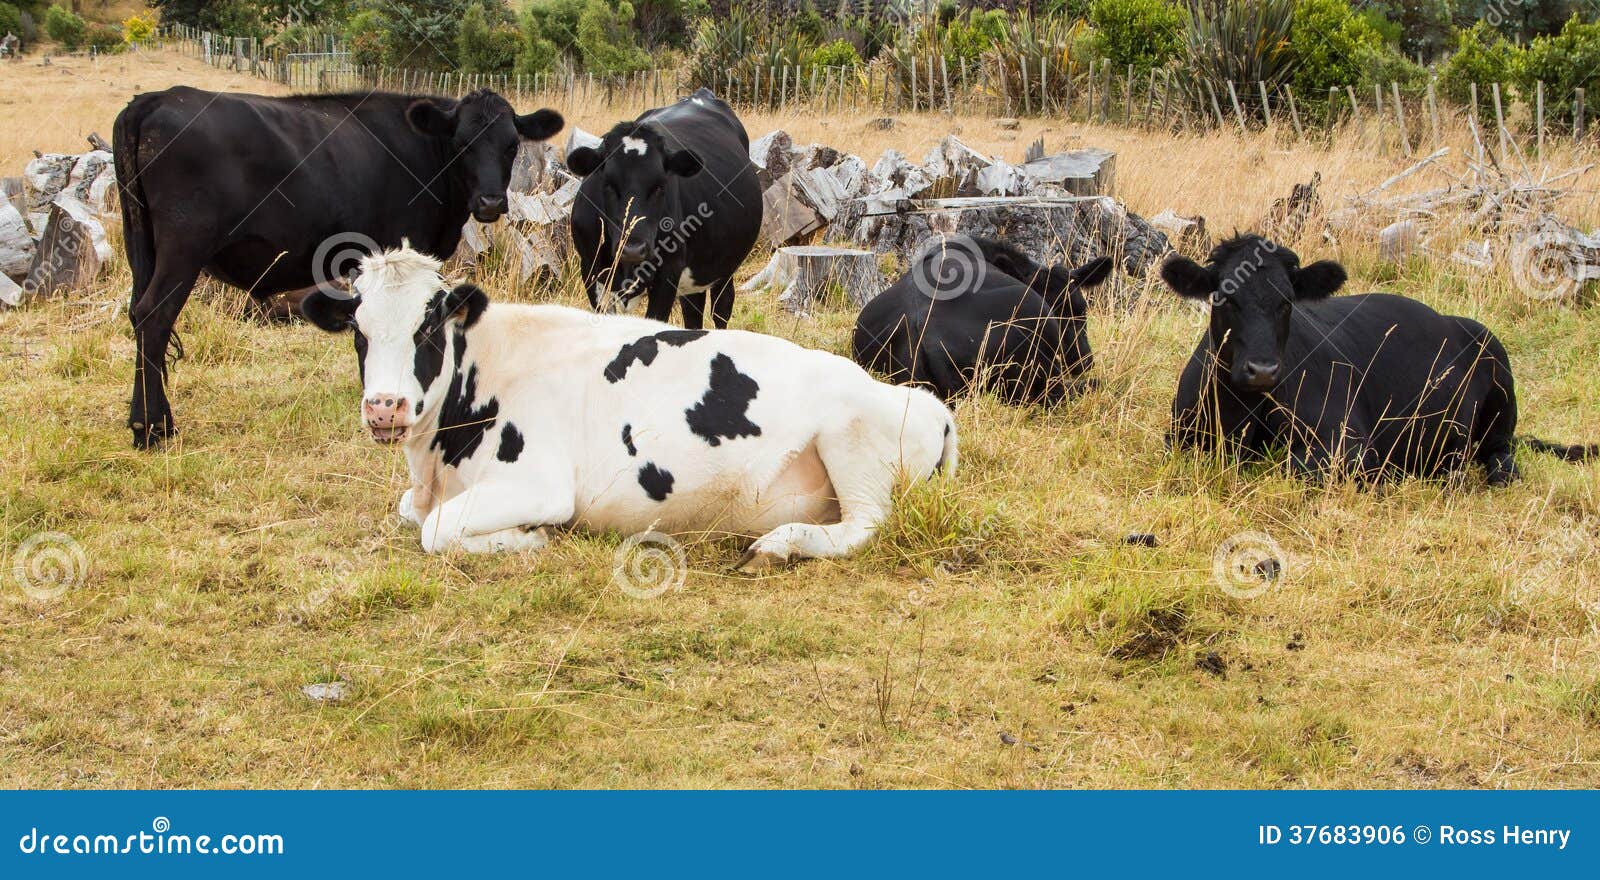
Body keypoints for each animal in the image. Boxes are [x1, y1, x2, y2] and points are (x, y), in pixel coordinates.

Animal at [112, 86, 563, 448]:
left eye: (511, 146)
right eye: (462, 143)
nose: (490, 201)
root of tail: (155, 99)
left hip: (143, 247)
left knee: (138, 315)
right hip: (184, 245)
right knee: (154, 316)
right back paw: (152, 428)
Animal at [298, 246, 958, 569]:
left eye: (429, 327)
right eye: (357, 329)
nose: (384, 407)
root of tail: (921, 399)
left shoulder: (538, 483)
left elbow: (433, 530)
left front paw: (528, 541)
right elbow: (411, 514)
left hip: (852, 440)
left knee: (866, 526)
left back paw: (780, 545)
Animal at [567, 88, 761, 330]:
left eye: (660, 185)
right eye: (608, 184)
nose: (632, 249)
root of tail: (701, 95)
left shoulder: (668, 273)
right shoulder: (591, 270)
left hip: (724, 266)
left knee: (721, 308)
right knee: (693, 311)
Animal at [1159, 233, 1596, 483]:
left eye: (1287, 301)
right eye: (1225, 296)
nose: (1262, 370)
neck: (1245, 409)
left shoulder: (1348, 442)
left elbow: (1292, 467)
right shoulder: (1179, 437)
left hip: (1500, 388)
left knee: (1500, 454)